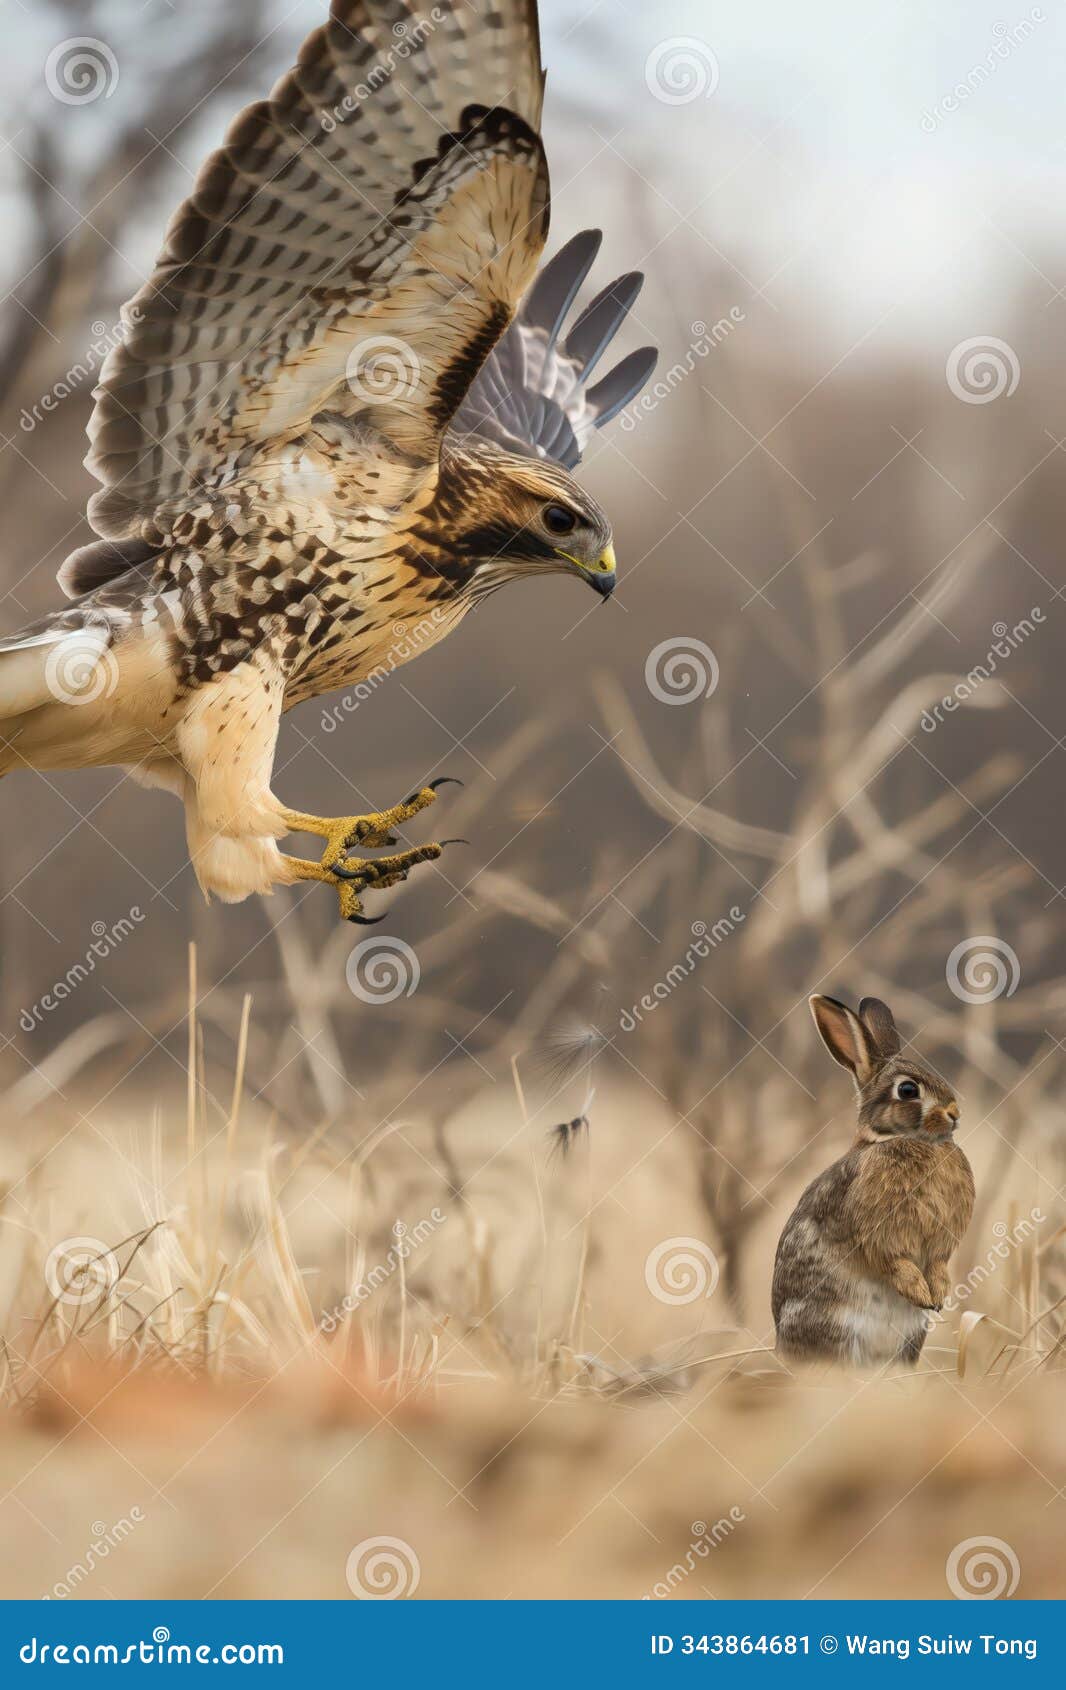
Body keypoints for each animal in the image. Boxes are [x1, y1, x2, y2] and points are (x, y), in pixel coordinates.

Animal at [771, 993, 974, 1369]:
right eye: (908, 1090)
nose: (954, 1113)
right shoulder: (878, 1233)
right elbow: (893, 1260)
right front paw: (921, 1292)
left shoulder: (940, 1243)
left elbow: (938, 1263)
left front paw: (937, 1293)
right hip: (837, 1325)